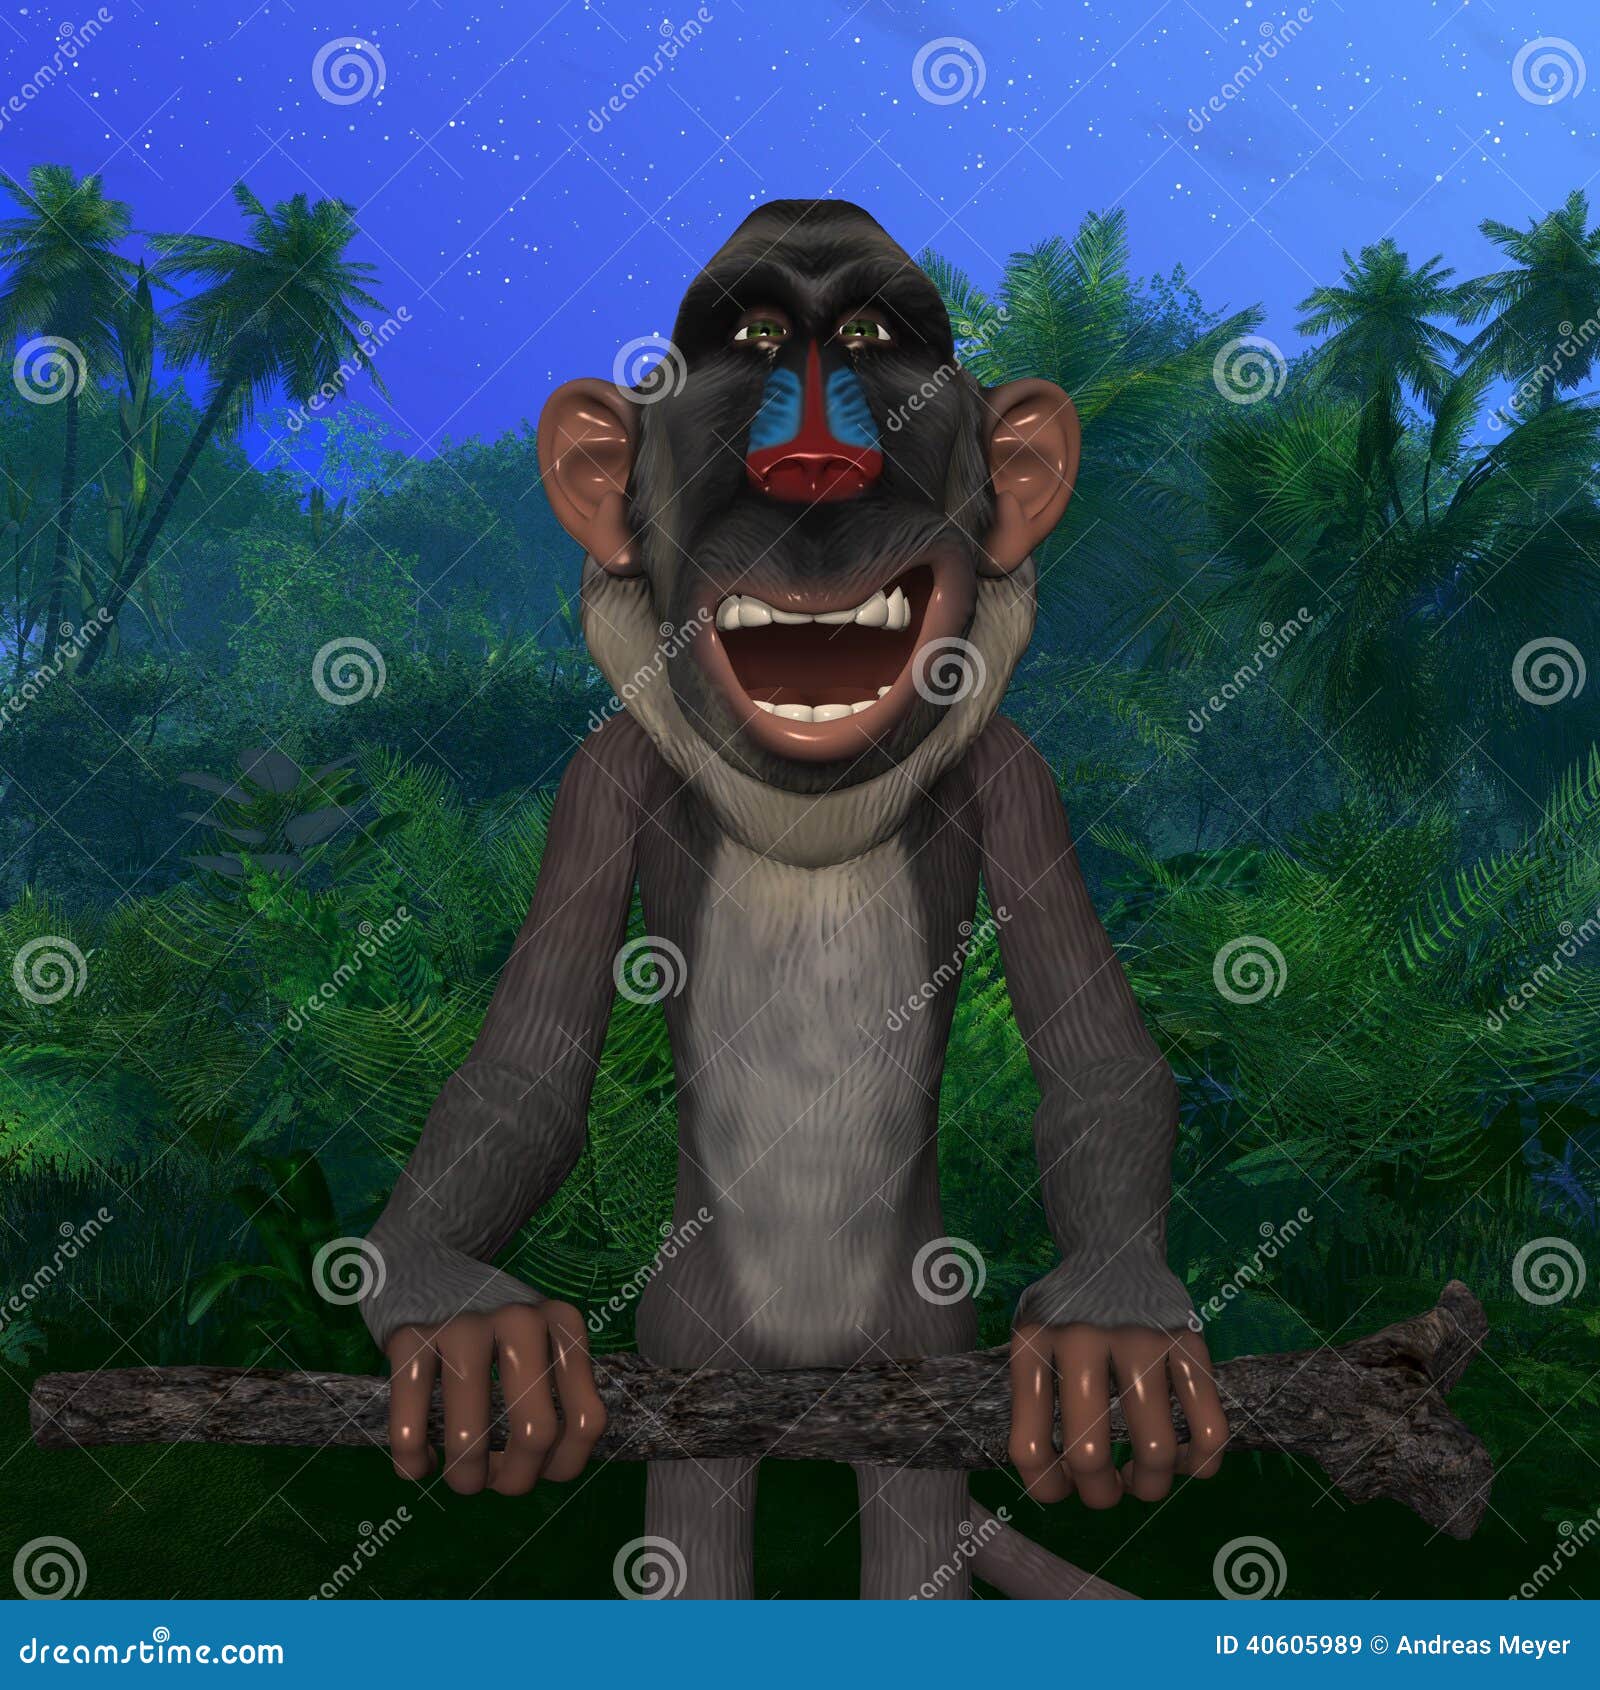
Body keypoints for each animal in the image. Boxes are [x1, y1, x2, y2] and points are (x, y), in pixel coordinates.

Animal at [360, 199, 1228, 1600]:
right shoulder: (601, 778)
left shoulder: (1017, 776)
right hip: (696, 1364)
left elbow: (1100, 1068)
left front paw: (1113, 1321)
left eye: (874, 348)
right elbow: (526, 1075)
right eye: (754, 347)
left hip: (916, 1360)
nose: (811, 469)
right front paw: (455, 1312)